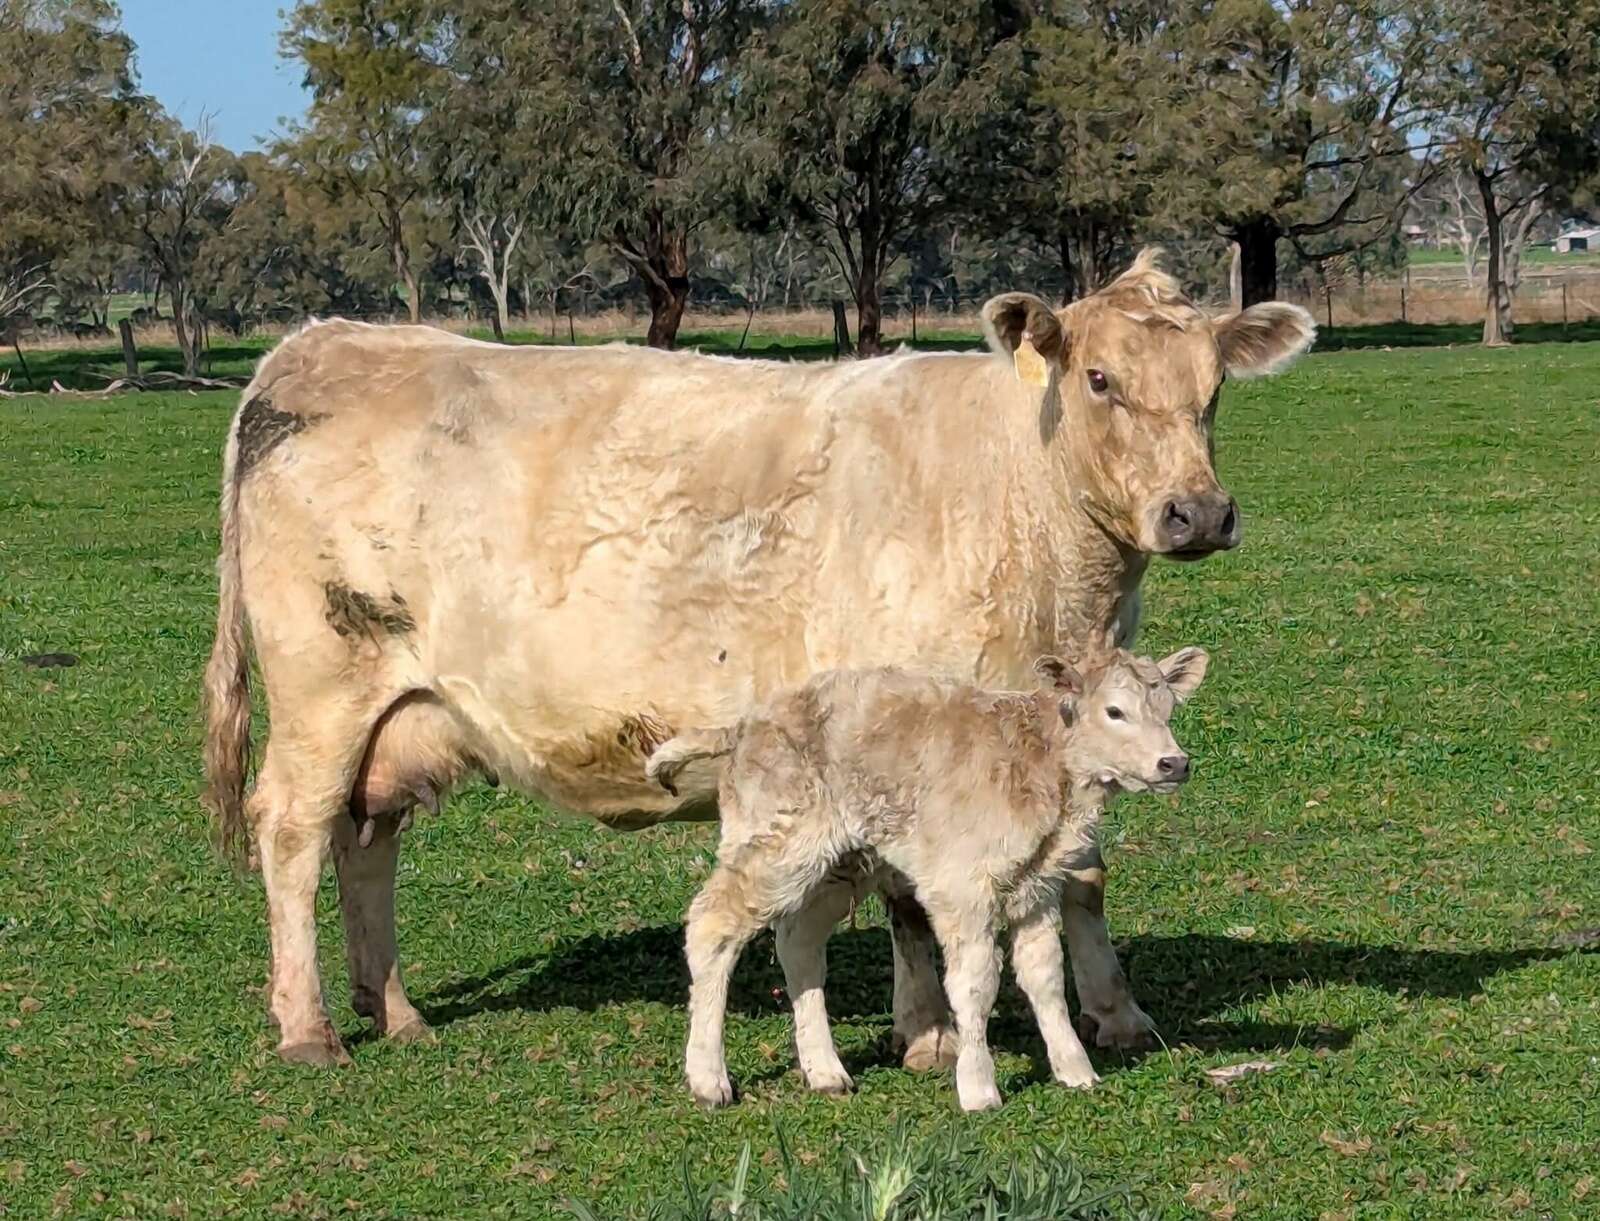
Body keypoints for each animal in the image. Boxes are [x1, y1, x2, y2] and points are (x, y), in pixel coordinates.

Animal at [201, 249, 1314, 1067]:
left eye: (1214, 387)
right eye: (1099, 378)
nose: (1198, 512)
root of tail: (318, 343)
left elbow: (1083, 871)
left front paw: (1117, 1016)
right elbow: (910, 899)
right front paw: (929, 1035)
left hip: (395, 711)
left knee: (368, 839)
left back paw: (394, 1012)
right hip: (321, 687)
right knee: (294, 831)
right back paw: (308, 1028)